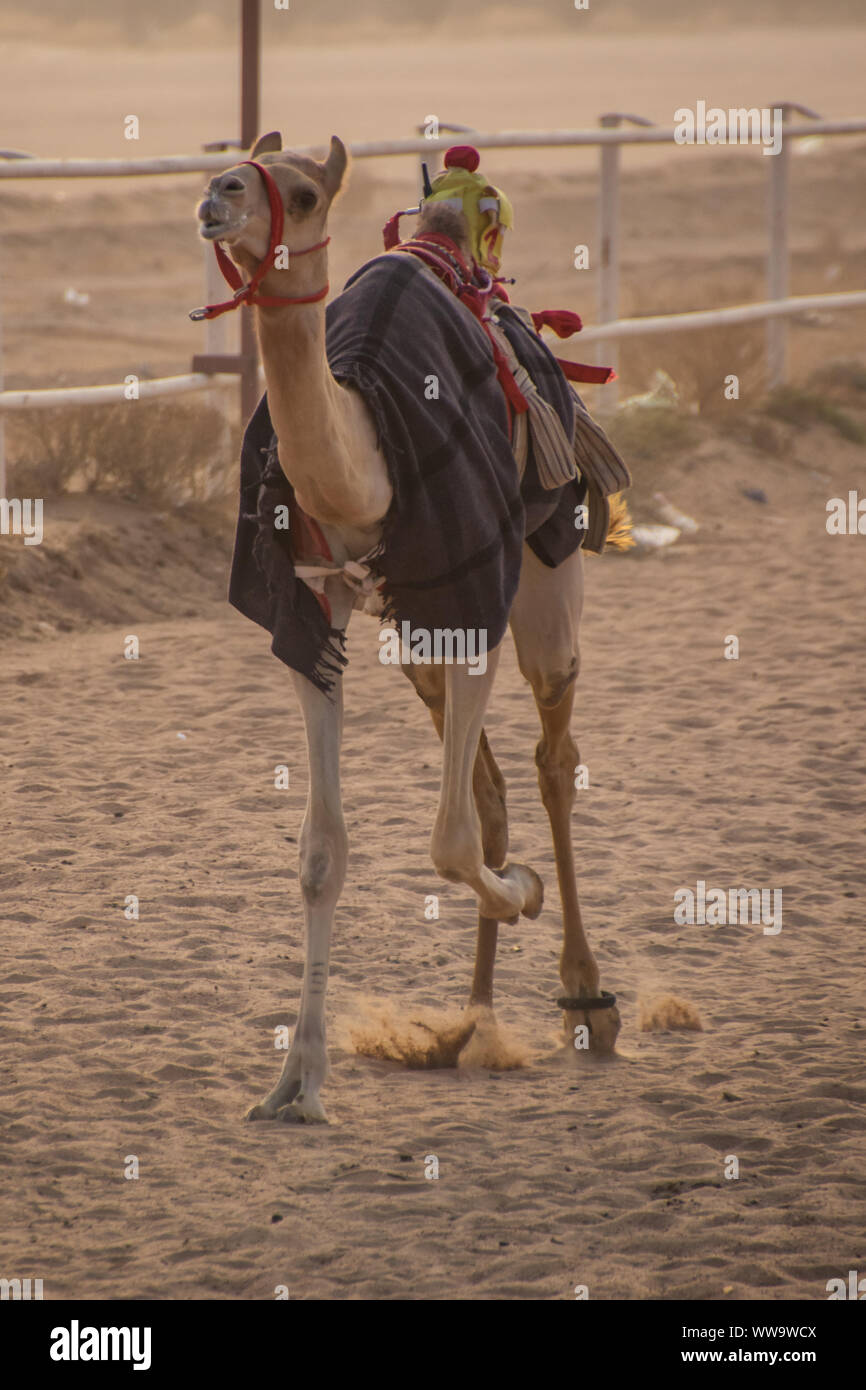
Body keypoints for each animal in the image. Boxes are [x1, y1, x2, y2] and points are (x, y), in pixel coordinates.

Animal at [194, 132, 622, 1123]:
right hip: (416, 638)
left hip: (546, 576)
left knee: (552, 760)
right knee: (495, 788)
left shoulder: (474, 601)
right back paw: (469, 1022)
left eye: (304, 194)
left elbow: (449, 839)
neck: (373, 462)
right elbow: (323, 853)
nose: (218, 196)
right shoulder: (315, 619)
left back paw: (585, 994)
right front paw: (296, 1083)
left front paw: (525, 891)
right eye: (235, 168)